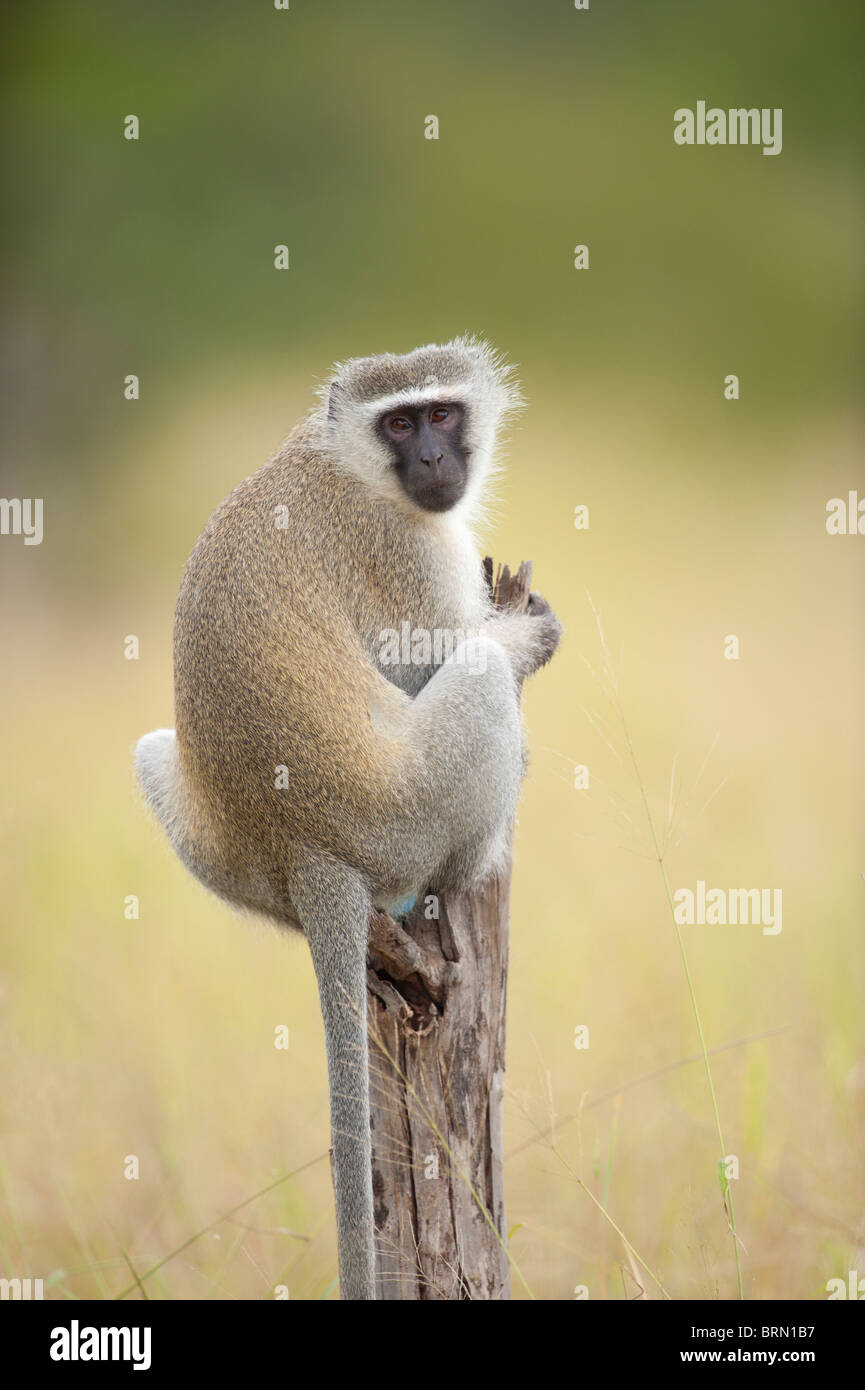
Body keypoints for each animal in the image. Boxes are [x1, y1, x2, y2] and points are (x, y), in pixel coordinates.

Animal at [135, 338, 561, 1300]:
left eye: (439, 413)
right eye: (398, 424)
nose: (434, 458)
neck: (349, 464)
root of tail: (302, 852)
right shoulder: (405, 550)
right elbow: (437, 658)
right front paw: (526, 635)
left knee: (149, 751)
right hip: (404, 817)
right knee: (479, 678)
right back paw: (472, 864)